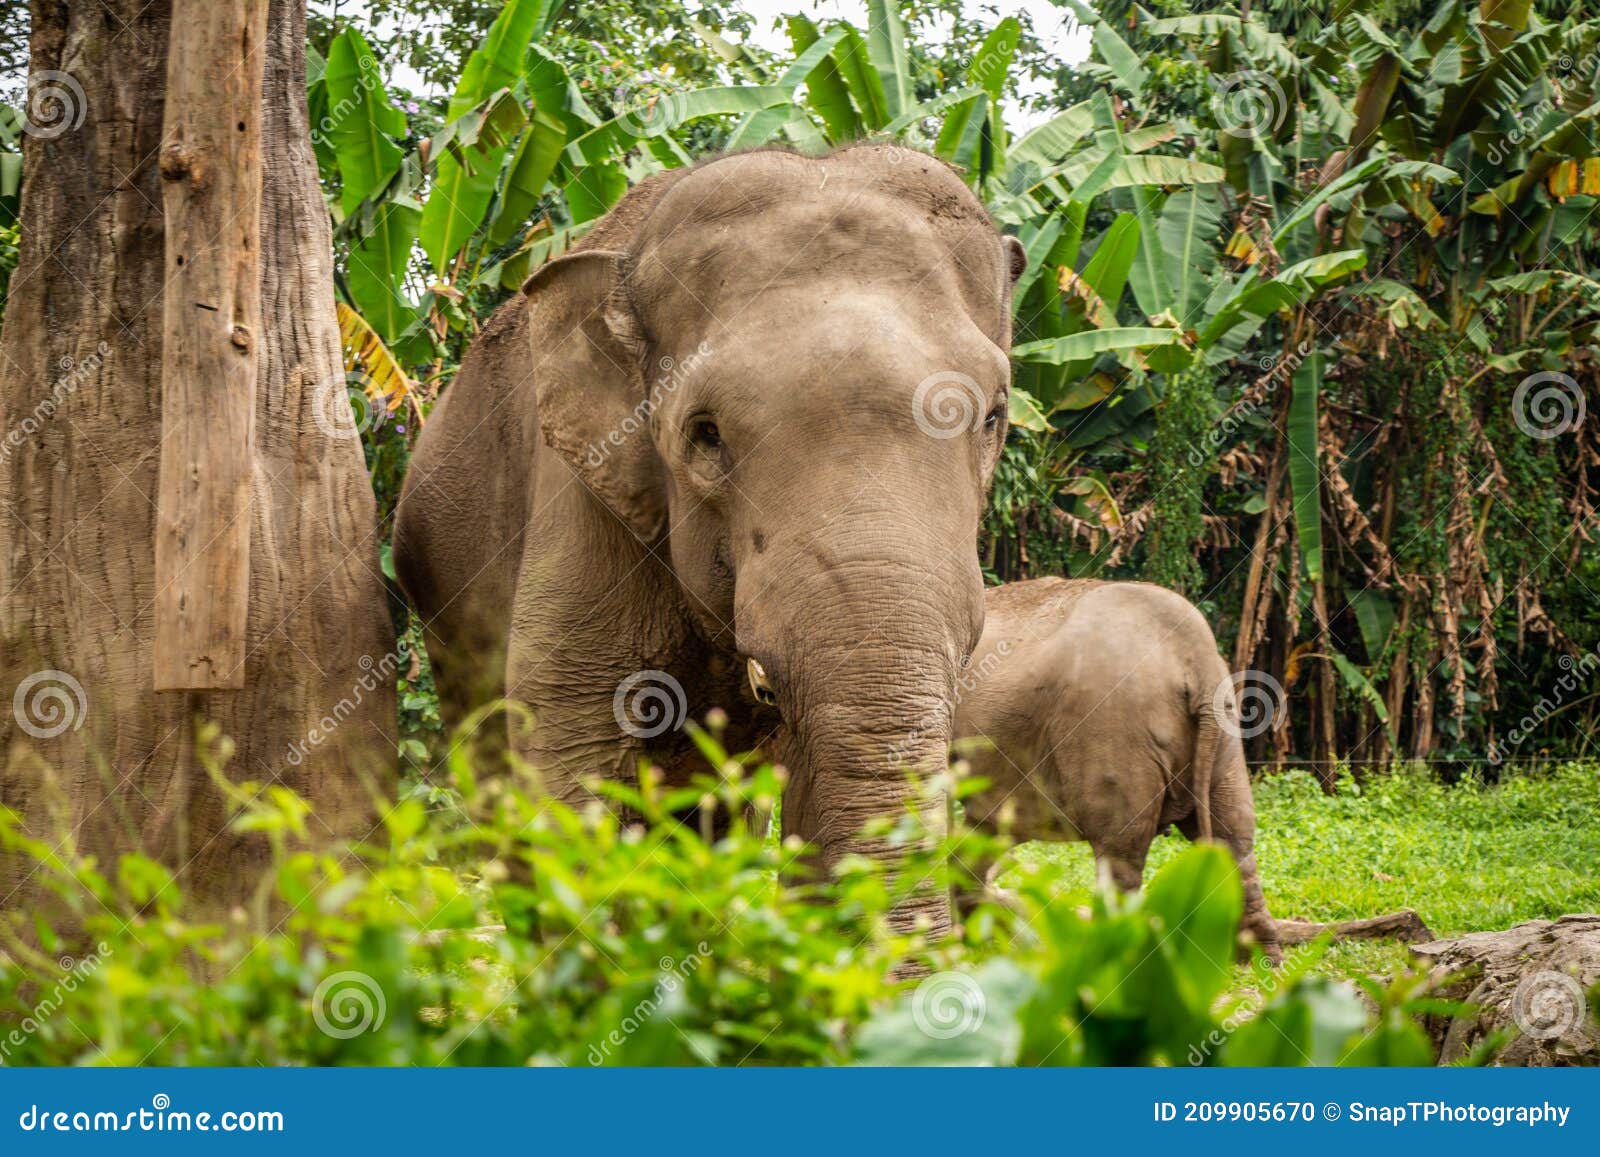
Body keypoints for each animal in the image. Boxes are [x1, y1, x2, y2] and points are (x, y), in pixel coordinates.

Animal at [952, 578, 1281, 959]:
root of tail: (1196, 660)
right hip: (1223, 739)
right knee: (1235, 836)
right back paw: (1264, 961)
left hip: (1114, 733)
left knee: (1121, 853)